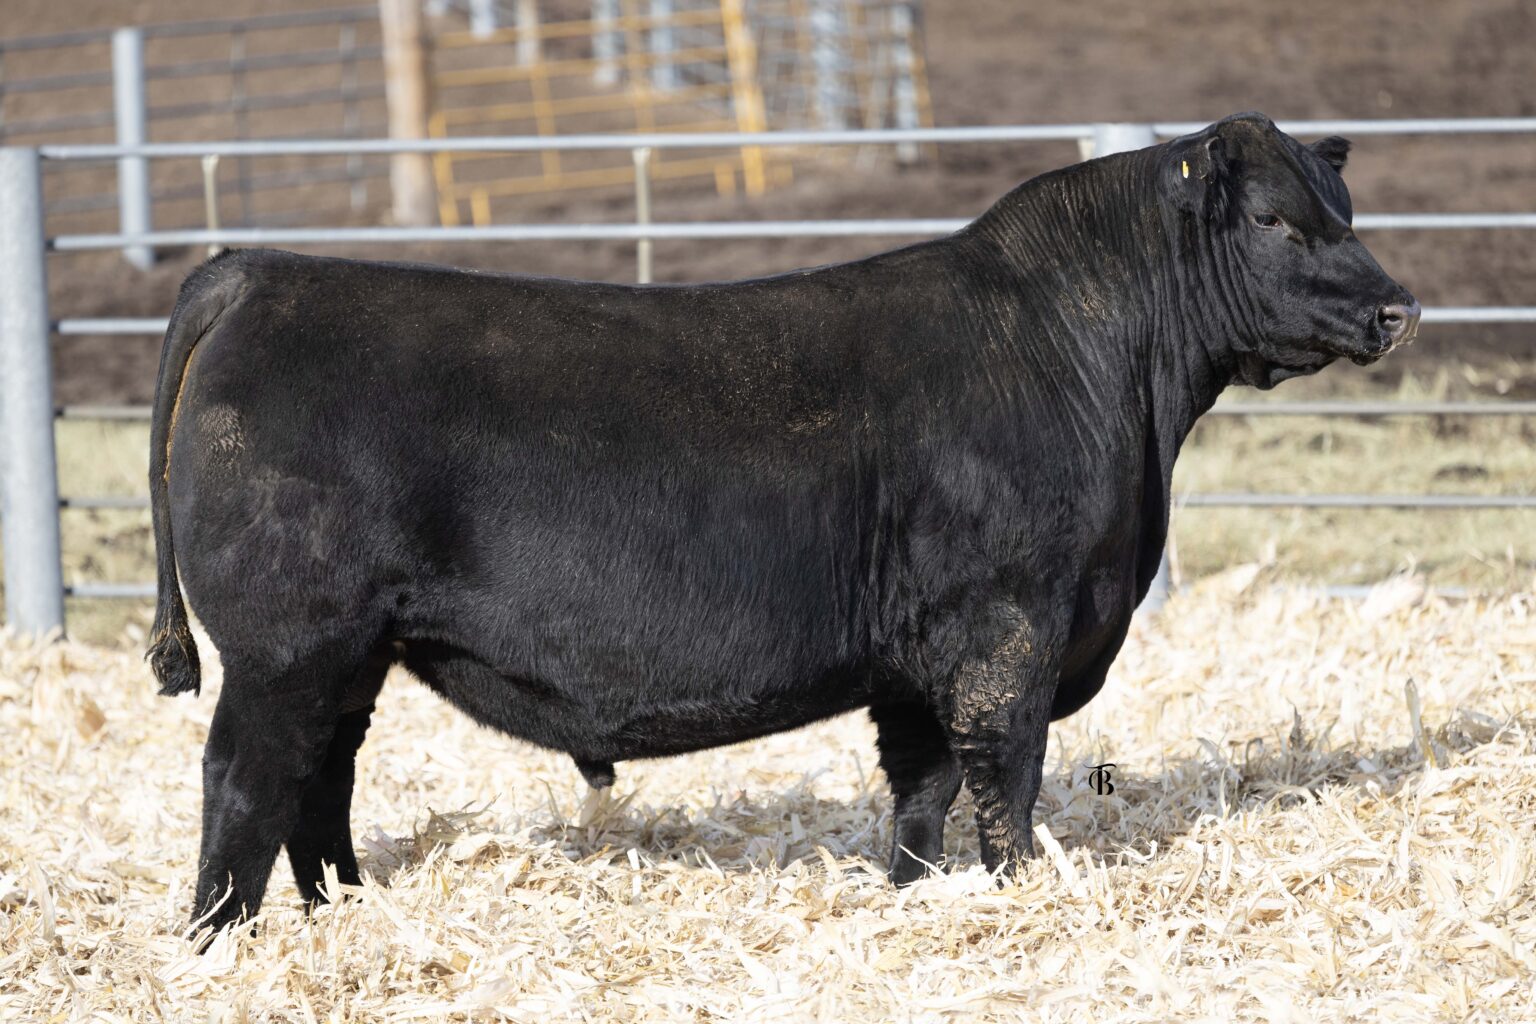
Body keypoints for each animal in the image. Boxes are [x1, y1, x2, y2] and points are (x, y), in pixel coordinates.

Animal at [146, 112, 1418, 936]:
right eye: (1275, 221)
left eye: (1347, 209)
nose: (1399, 305)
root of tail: (258, 272)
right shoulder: (1009, 627)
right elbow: (1004, 780)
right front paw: (1016, 901)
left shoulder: (919, 655)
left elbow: (920, 792)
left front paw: (912, 900)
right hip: (286, 647)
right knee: (244, 778)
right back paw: (221, 938)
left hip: (350, 652)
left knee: (320, 780)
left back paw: (340, 911)